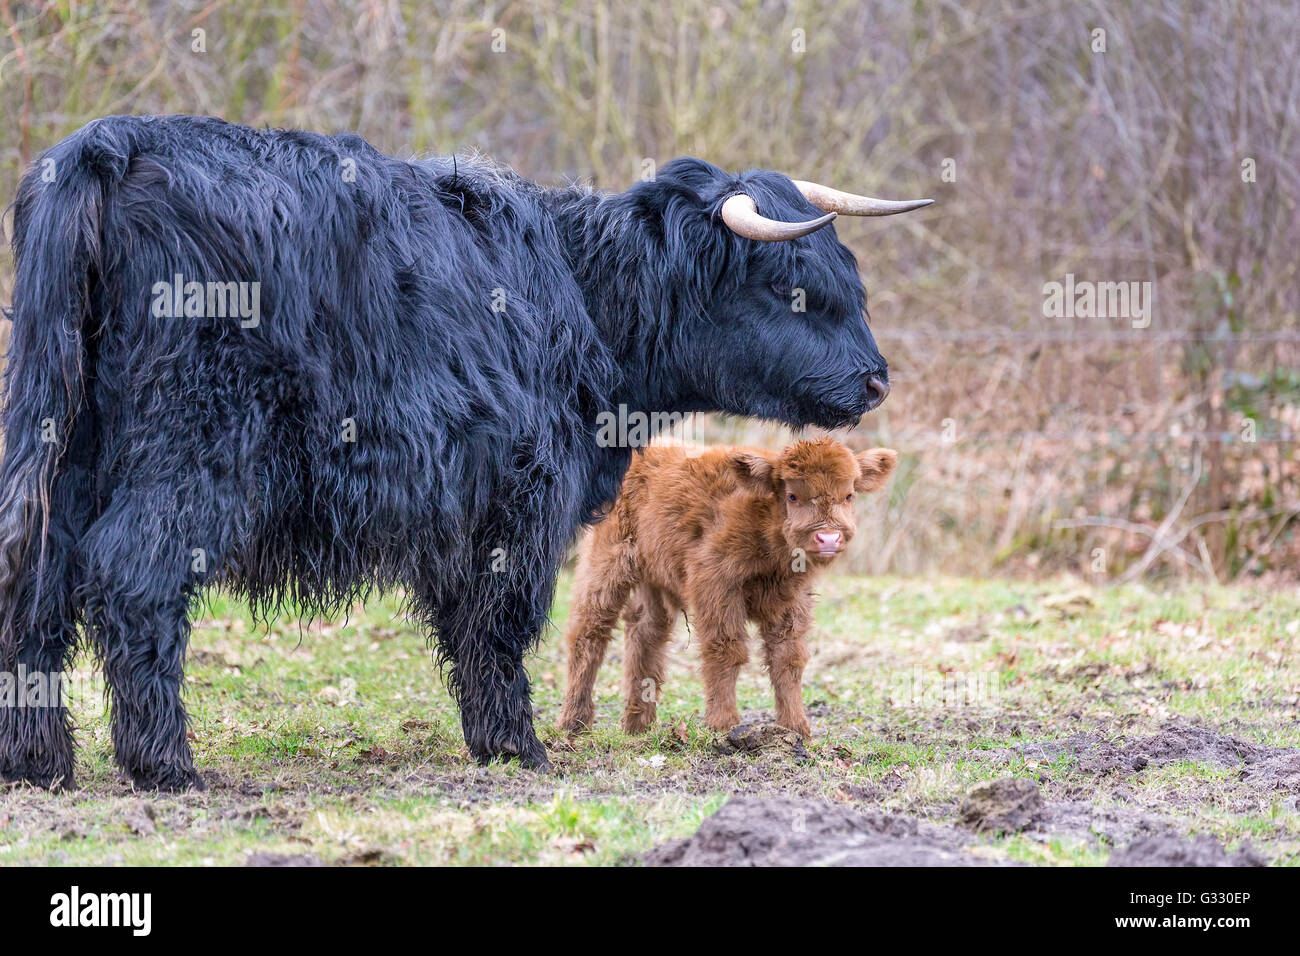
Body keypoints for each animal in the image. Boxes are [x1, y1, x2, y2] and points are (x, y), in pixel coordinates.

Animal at [558, 438, 897, 738]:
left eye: (849, 495)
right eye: (792, 495)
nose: (828, 537)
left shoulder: (792, 600)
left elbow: (788, 656)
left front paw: (795, 727)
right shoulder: (716, 586)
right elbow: (726, 649)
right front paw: (724, 724)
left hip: (653, 580)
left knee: (646, 635)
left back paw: (637, 725)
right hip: (606, 563)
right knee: (589, 632)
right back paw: (574, 722)